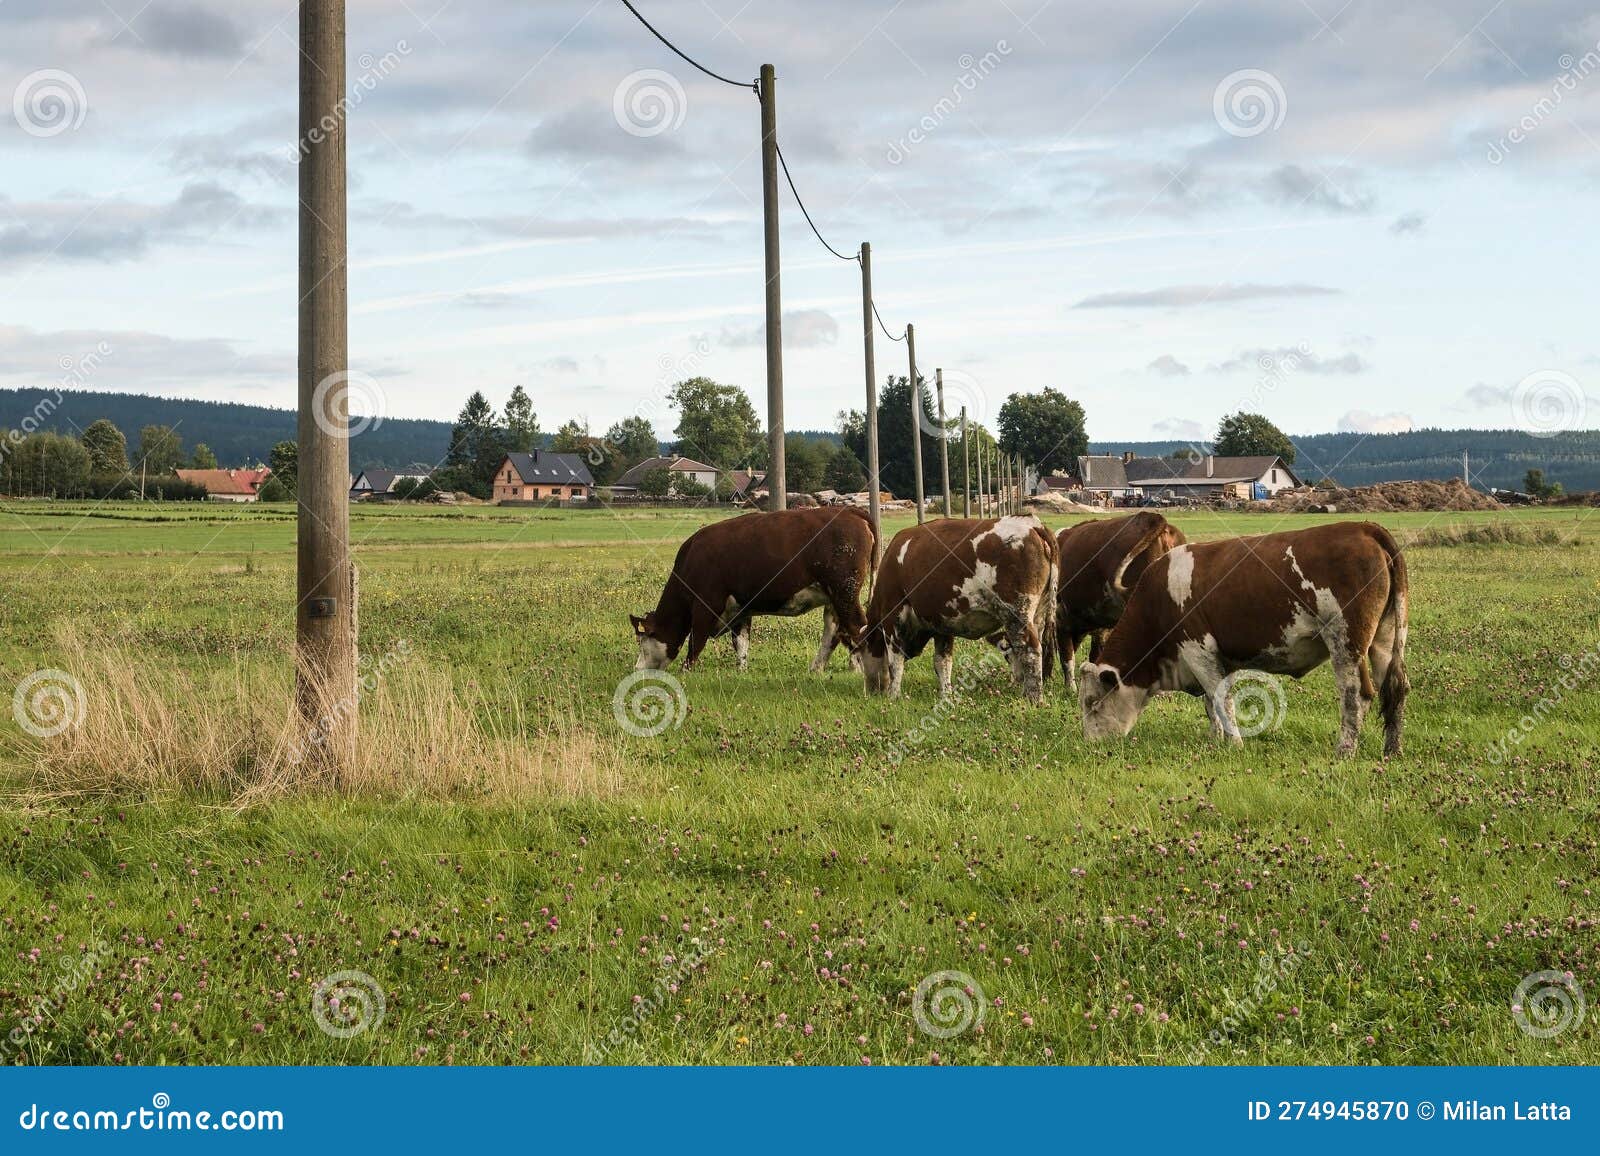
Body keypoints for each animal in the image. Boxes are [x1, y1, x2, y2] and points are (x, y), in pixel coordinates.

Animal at [630, 505, 876, 673]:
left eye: (643, 642)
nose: (638, 668)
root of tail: (849, 511)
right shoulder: (740, 608)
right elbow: (740, 642)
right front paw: (741, 670)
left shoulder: (705, 605)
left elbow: (696, 641)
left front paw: (686, 671)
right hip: (834, 597)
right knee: (834, 631)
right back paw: (818, 667)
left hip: (844, 591)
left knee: (856, 626)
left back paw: (859, 667)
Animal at [862, 515, 1057, 704]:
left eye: (859, 653)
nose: (870, 691)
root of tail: (1033, 524)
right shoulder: (941, 624)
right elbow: (942, 662)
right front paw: (946, 695)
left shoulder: (892, 616)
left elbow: (895, 662)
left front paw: (893, 696)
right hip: (1038, 613)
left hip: (1016, 614)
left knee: (1030, 650)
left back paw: (1033, 699)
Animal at [1078, 522, 1409, 757]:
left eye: (1092, 702)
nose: (1091, 744)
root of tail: (1364, 528)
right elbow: (1212, 703)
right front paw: (1216, 739)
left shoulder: (1197, 648)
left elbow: (1221, 699)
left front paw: (1234, 744)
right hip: (1385, 638)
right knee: (1396, 687)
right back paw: (1391, 750)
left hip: (1345, 641)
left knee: (1356, 694)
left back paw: (1344, 750)